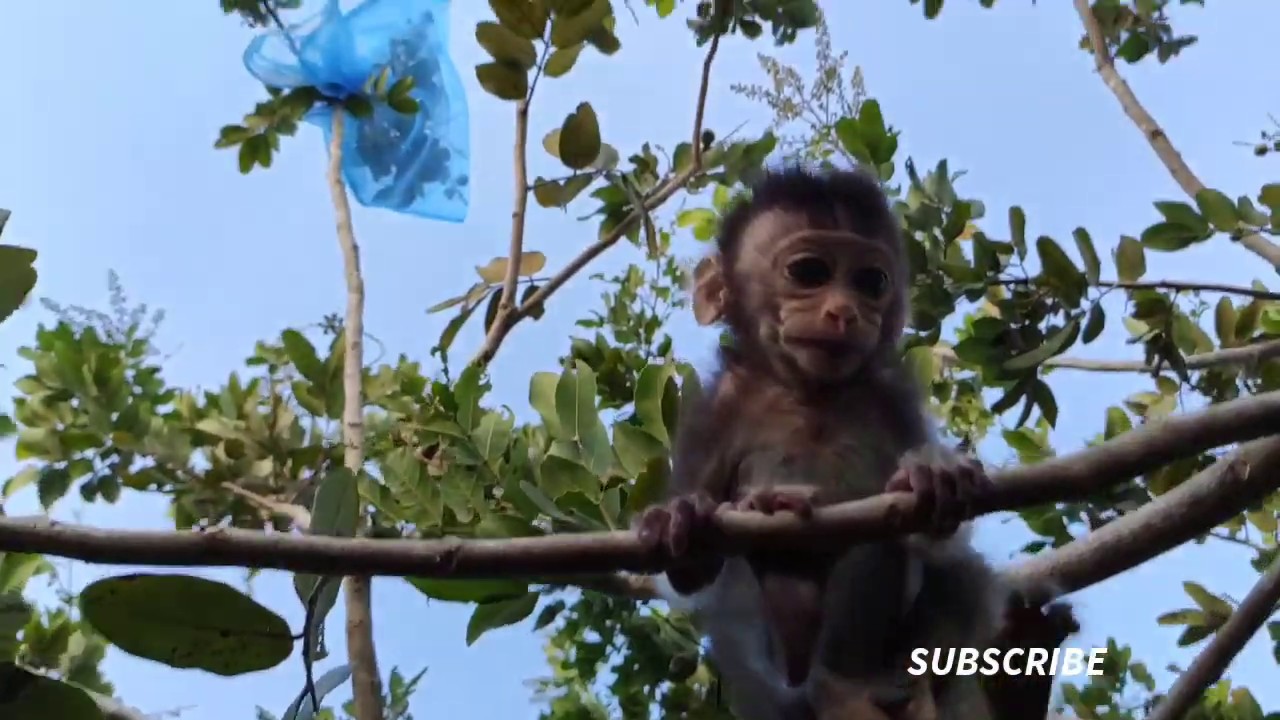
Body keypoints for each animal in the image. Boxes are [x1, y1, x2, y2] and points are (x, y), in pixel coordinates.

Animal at [635, 166, 1020, 720]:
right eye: (809, 273)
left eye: (871, 282)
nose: (845, 312)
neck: (809, 393)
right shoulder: (715, 411)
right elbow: (693, 571)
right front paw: (681, 518)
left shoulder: (891, 396)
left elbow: (937, 538)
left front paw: (932, 472)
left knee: (958, 581)